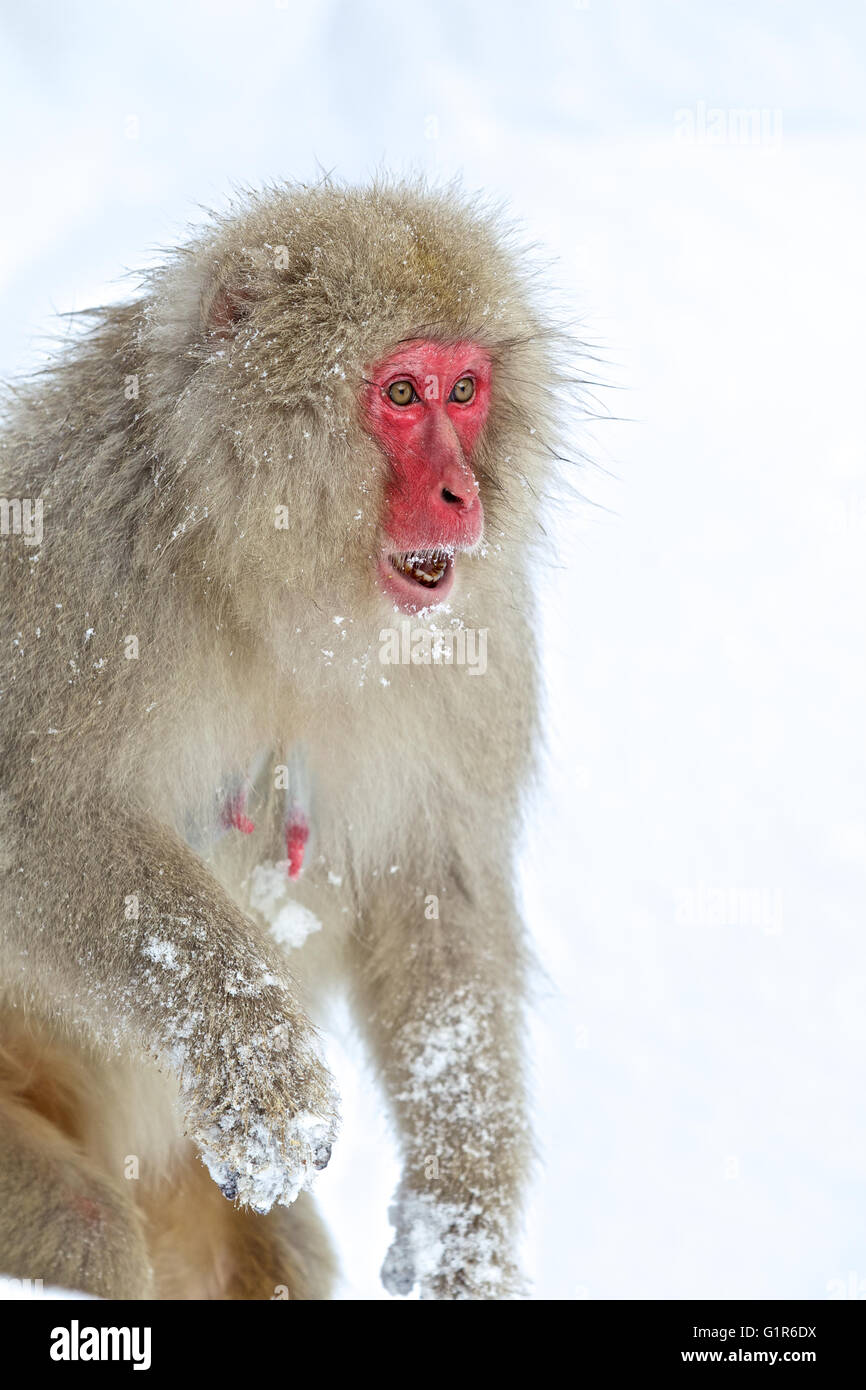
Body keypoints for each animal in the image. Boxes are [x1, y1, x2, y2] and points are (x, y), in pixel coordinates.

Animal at [0, 178, 563, 1300]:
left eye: (464, 389)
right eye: (402, 395)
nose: (463, 495)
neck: (270, 582)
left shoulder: (475, 655)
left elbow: (437, 891)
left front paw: (458, 1222)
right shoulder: (74, 570)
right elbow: (34, 817)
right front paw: (255, 1060)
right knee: (87, 1226)